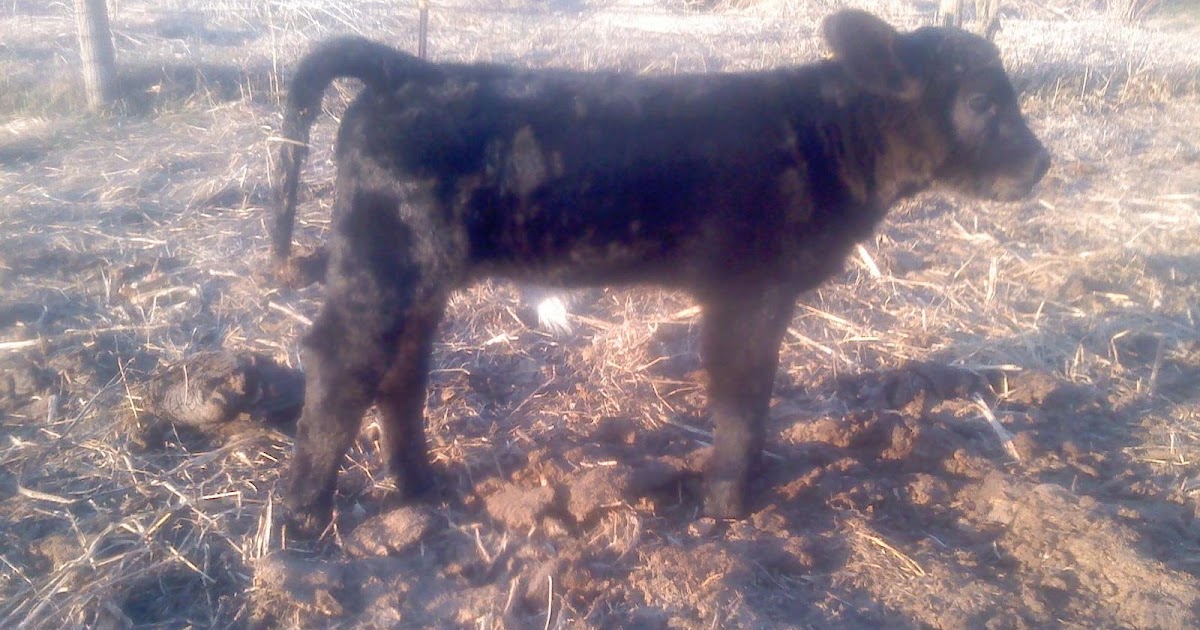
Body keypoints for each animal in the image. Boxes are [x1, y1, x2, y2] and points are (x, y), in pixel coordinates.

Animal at [271, 9, 1049, 537]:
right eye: (982, 102)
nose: (1040, 163)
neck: (826, 137)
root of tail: (413, 70)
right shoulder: (749, 292)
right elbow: (742, 396)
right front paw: (731, 505)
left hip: (418, 273)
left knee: (401, 369)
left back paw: (418, 485)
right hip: (381, 264)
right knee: (339, 361)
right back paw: (305, 515)